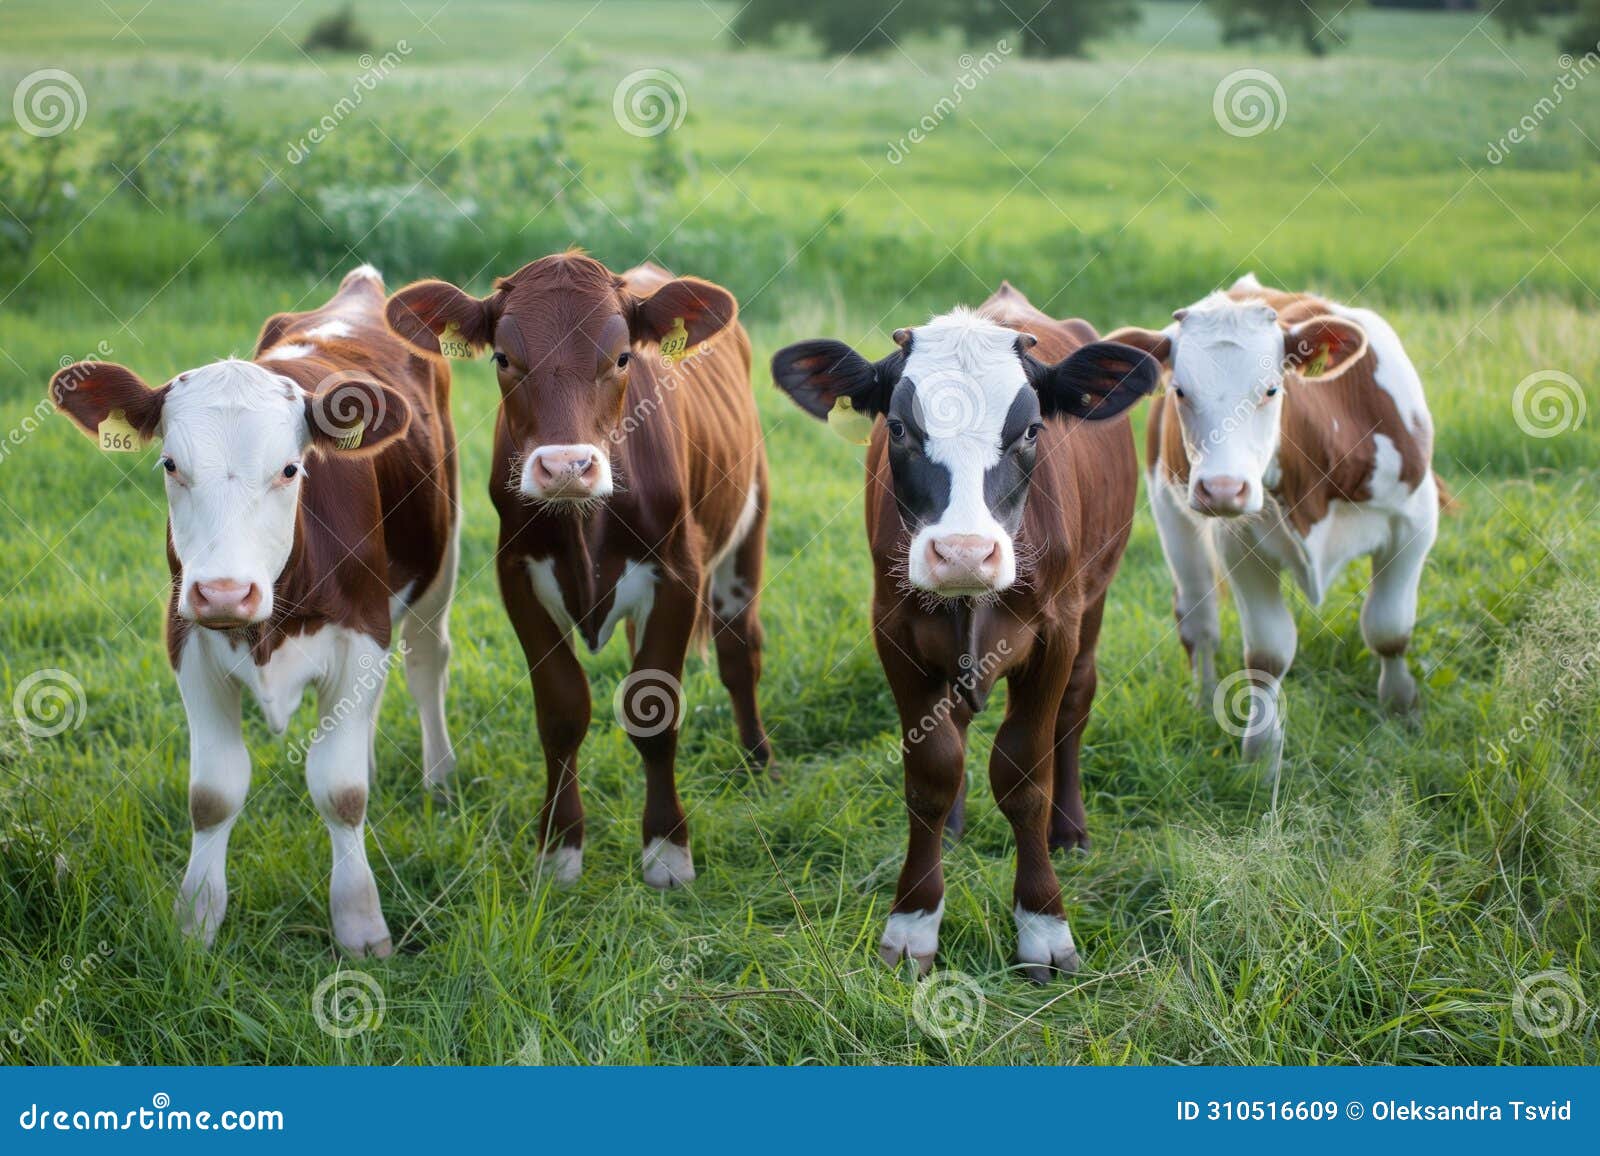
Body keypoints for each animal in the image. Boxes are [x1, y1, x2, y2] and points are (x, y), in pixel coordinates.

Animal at [50, 265, 459, 958]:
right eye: (170, 464)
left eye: (291, 469)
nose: (222, 592)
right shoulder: (186, 642)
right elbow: (213, 796)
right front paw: (195, 923)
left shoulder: (363, 633)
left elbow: (341, 792)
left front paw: (360, 924)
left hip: (439, 568)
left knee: (426, 660)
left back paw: (440, 775)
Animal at [383, 253, 770, 890]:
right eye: (503, 358)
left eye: (622, 357)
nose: (567, 466)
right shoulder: (516, 576)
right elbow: (563, 709)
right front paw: (559, 848)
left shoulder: (679, 573)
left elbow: (654, 712)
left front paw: (667, 849)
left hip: (751, 521)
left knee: (740, 648)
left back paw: (758, 758)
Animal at [771, 283, 1161, 979]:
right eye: (899, 428)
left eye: (1030, 429)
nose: (962, 553)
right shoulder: (893, 630)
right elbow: (931, 771)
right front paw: (914, 922)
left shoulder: (1055, 634)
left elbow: (1024, 775)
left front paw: (1043, 925)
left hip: (1095, 600)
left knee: (1076, 706)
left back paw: (1070, 830)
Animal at [1107, 273, 1442, 769]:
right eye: (1180, 390)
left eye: (1270, 389)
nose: (1222, 488)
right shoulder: (1240, 544)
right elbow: (1267, 655)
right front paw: (1261, 757)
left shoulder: (1415, 520)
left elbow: (1389, 629)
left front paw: (1402, 711)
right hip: (1171, 513)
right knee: (1198, 621)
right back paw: (1203, 700)